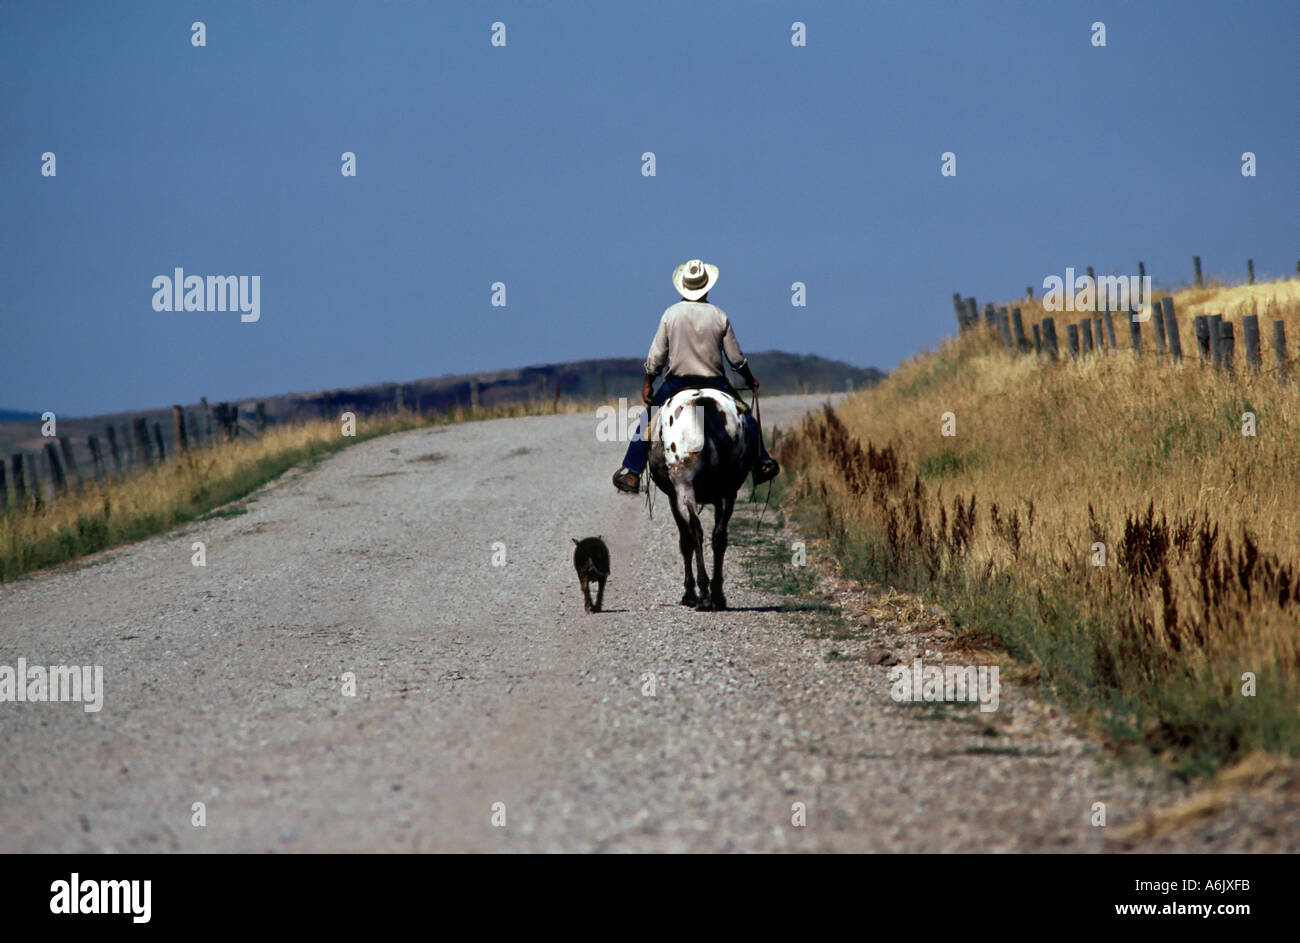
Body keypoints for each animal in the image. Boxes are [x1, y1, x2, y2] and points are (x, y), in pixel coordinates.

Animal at [647, 387, 753, 611]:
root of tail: (702, 401)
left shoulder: (673, 497)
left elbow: (685, 540)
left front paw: (688, 593)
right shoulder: (720, 496)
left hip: (684, 487)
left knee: (695, 531)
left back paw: (703, 593)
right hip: (729, 490)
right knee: (719, 535)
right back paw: (718, 594)